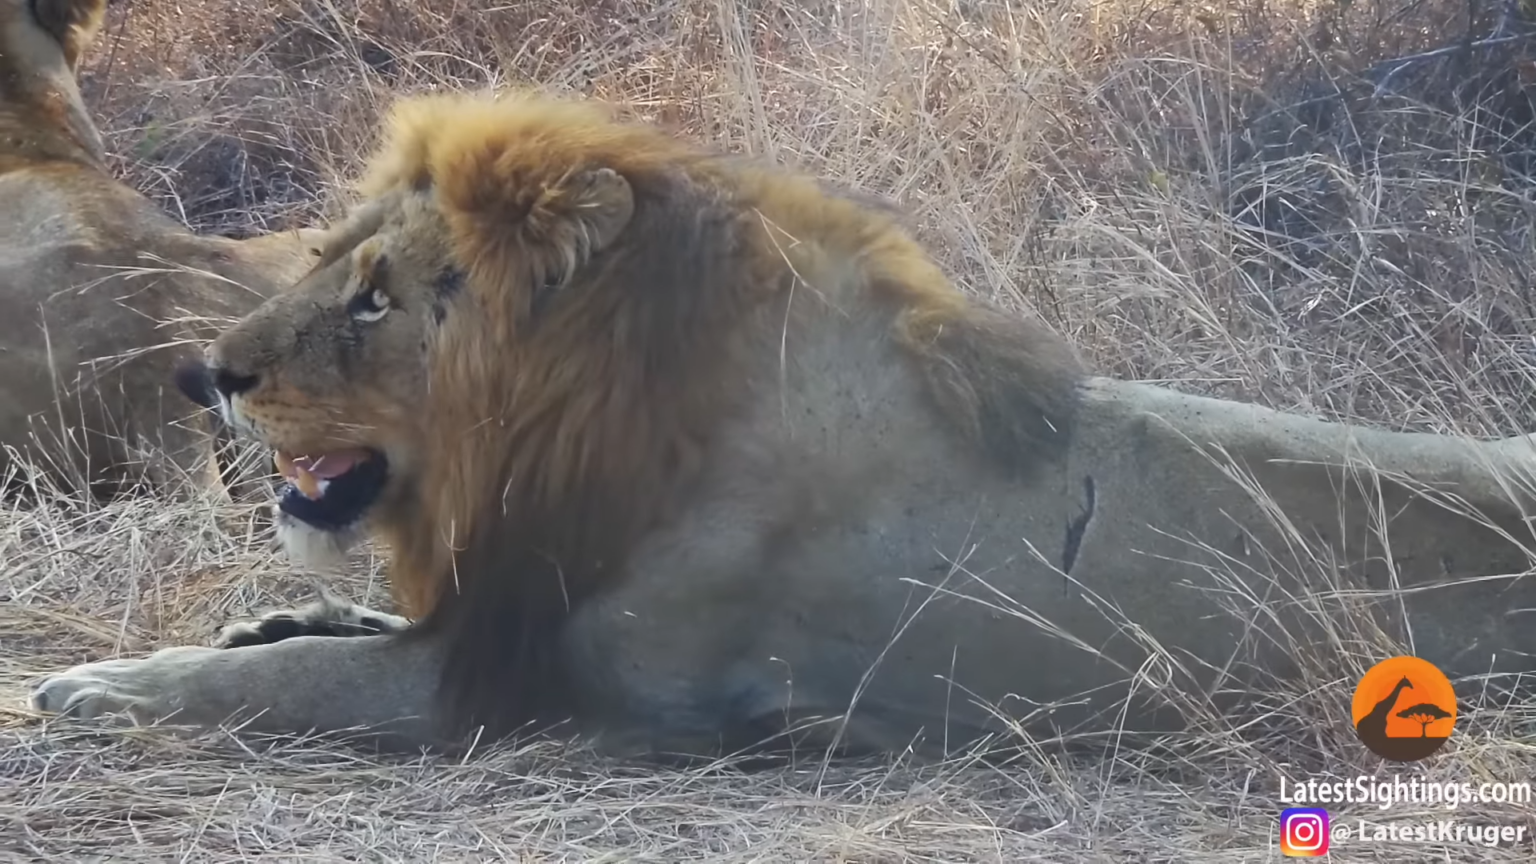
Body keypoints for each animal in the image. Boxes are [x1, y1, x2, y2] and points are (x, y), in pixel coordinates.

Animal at [29, 90, 1536, 761]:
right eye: (329, 258)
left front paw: (113, 685)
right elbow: (342, 627)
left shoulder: (553, 688)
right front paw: (267, 614)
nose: (205, 376)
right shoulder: (511, 596)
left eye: (375, 299)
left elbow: (303, 681)